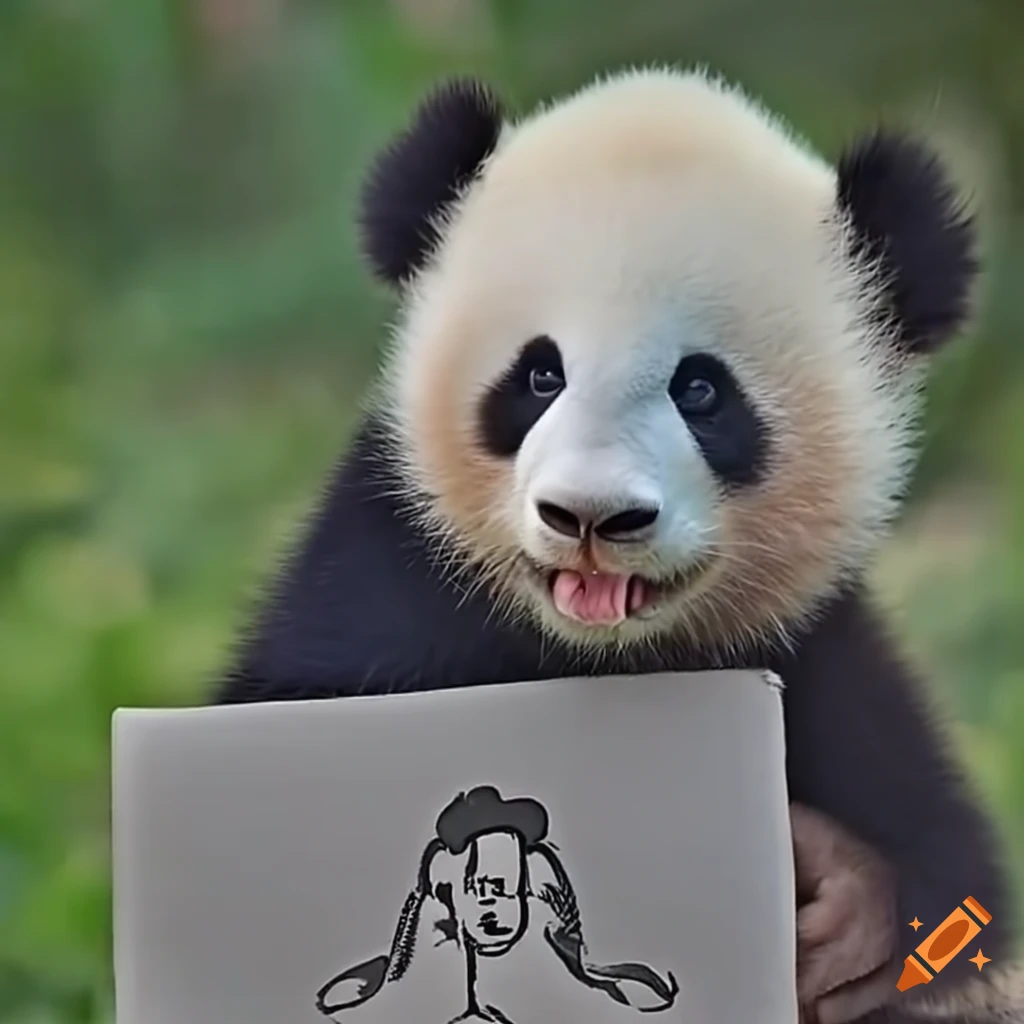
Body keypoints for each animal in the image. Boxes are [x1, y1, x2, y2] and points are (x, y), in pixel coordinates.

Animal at [217, 67, 1022, 1022]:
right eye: (539, 375)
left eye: (701, 391)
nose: (591, 517)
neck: (595, 659)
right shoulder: (377, 592)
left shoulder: (821, 651)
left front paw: (841, 897)